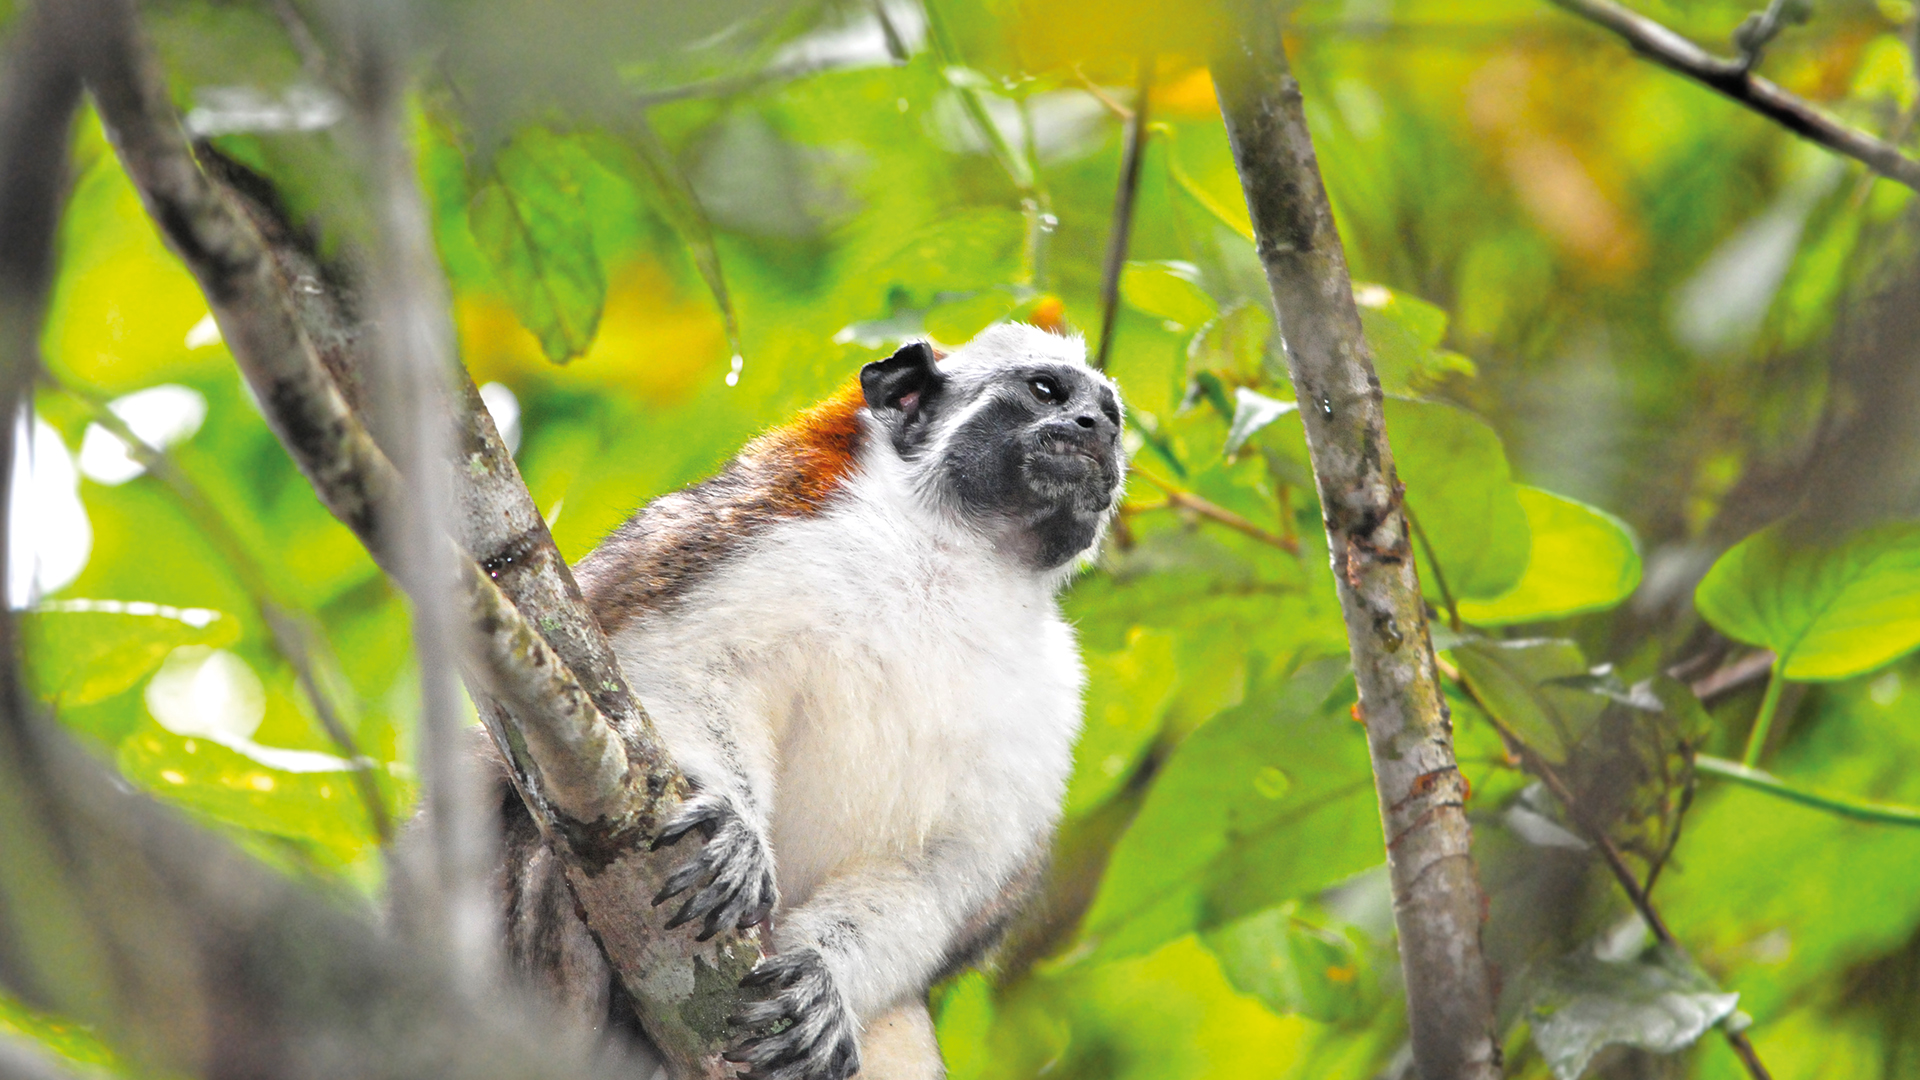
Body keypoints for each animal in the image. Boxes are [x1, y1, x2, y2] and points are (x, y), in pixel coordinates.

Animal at [490, 322, 1126, 1080]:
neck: (953, 560)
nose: (1094, 431)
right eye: (1047, 391)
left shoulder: (1052, 690)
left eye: (1111, 418)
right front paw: (735, 831)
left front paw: (825, 982)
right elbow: (671, 663)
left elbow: (949, 869)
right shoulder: (772, 531)